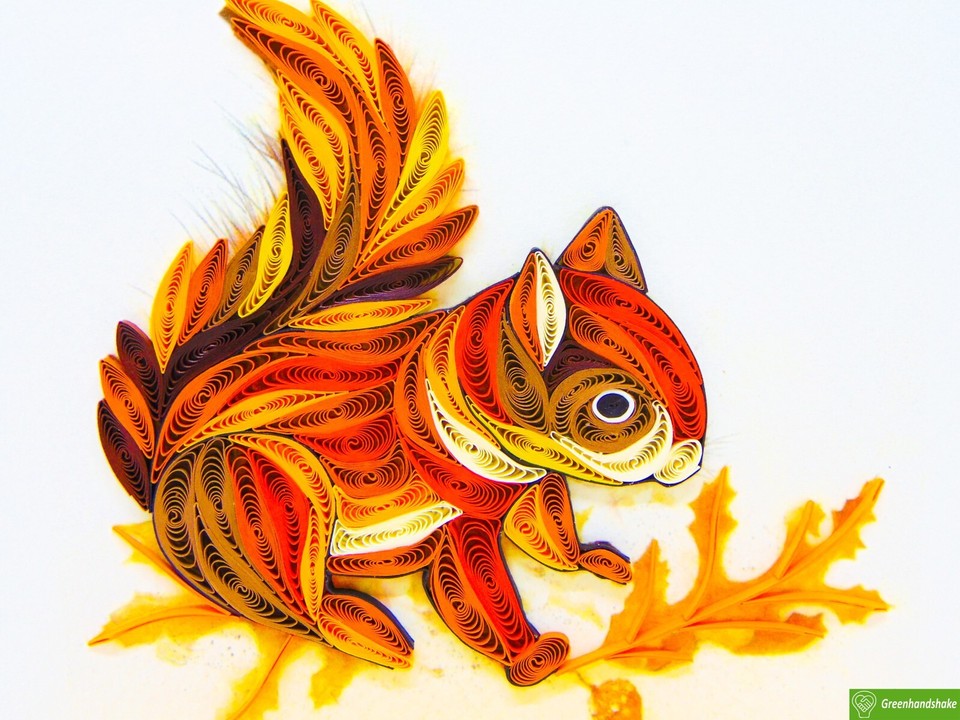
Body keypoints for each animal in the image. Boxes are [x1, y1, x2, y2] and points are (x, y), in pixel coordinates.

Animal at [97, 0, 707, 686]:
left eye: (689, 363)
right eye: (614, 408)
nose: (692, 456)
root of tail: (165, 467)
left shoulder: (530, 488)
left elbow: (548, 531)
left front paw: (591, 560)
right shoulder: (464, 521)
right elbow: (478, 587)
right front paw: (533, 660)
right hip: (265, 497)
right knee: (289, 597)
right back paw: (367, 633)